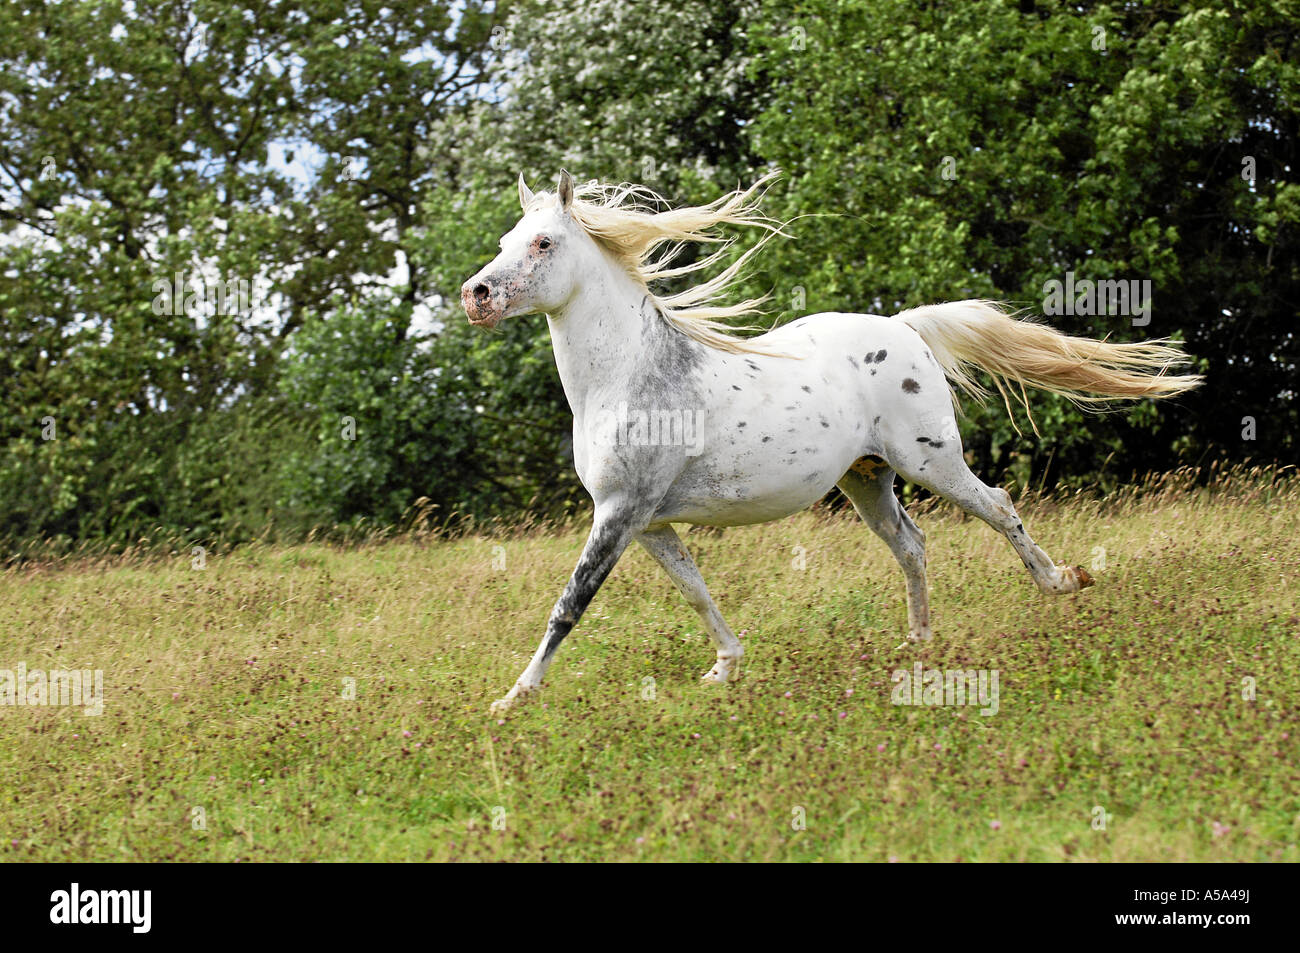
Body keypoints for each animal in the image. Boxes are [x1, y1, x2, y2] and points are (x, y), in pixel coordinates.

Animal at [461, 170, 1201, 714]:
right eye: (505, 236)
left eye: (544, 243)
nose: (476, 295)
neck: (633, 375)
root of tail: (905, 327)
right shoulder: (647, 521)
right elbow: (695, 591)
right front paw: (724, 668)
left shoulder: (620, 514)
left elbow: (569, 605)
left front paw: (512, 699)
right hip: (867, 477)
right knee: (911, 543)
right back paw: (917, 641)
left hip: (931, 461)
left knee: (998, 505)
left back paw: (1062, 581)